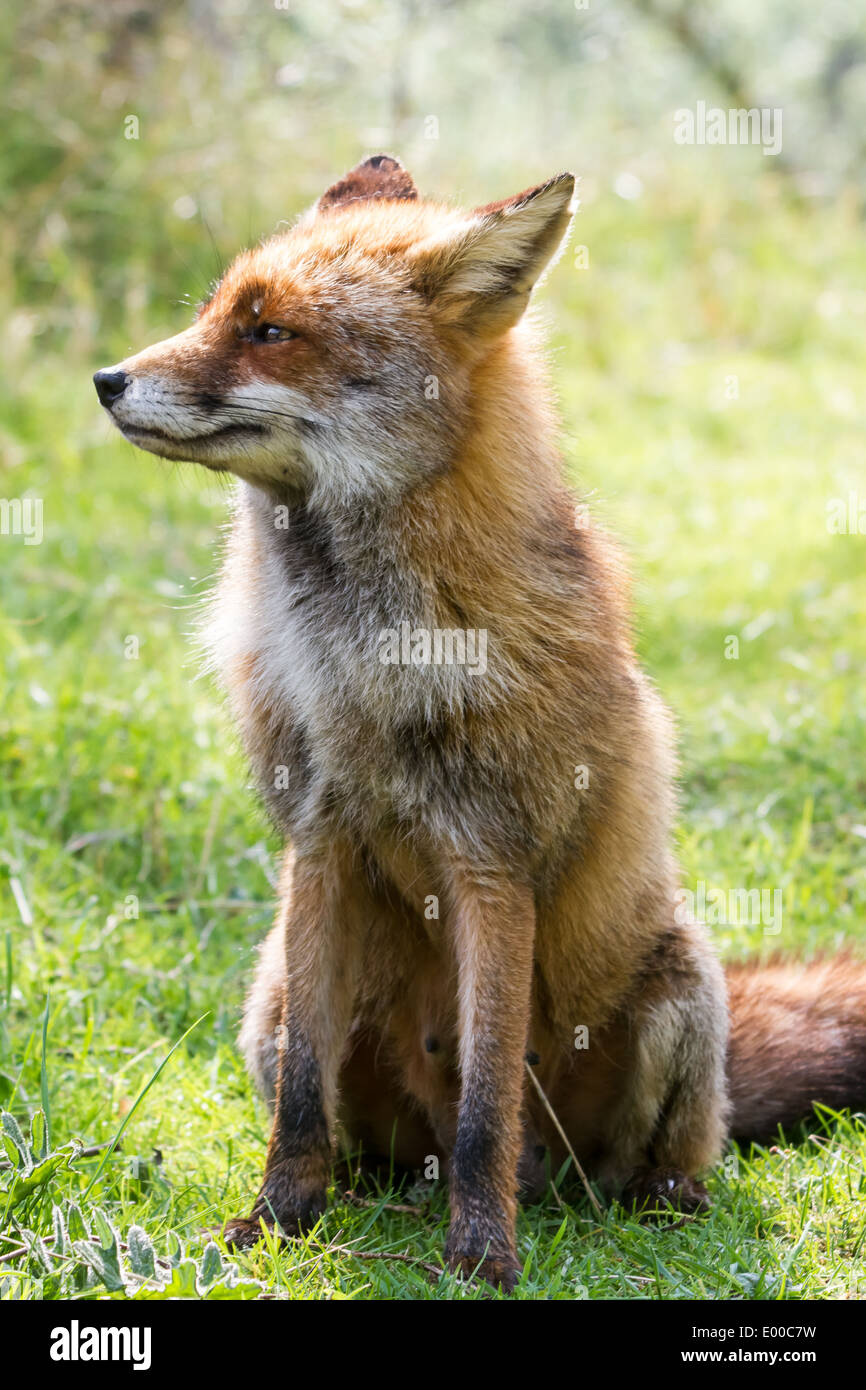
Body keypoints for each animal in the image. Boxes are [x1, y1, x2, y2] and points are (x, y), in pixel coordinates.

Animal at [94, 155, 866, 1291]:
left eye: (269, 330)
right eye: (212, 312)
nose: (105, 379)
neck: (367, 663)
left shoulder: (493, 859)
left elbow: (486, 1103)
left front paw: (483, 1258)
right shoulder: (315, 842)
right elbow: (299, 1105)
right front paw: (277, 1222)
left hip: (680, 996)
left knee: (659, 1154)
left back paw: (656, 1203)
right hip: (270, 1000)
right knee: (353, 1119)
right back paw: (361, 1194)